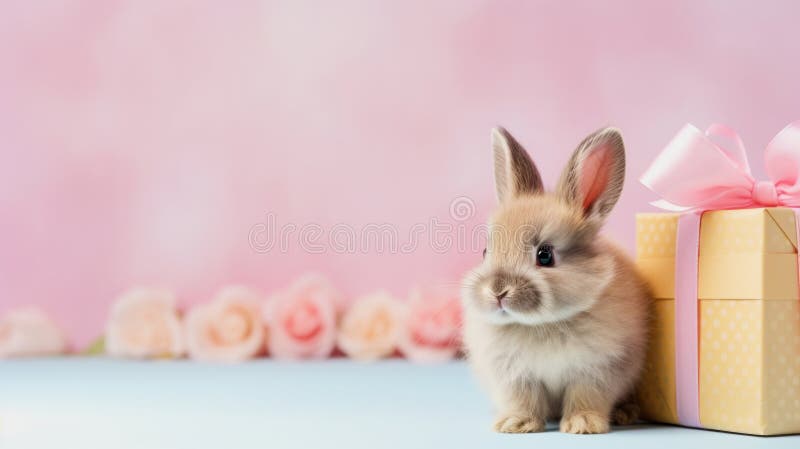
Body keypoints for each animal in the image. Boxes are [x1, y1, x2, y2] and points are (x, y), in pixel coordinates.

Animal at [461, 126, 651, 434]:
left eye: (545, 255)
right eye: (486, 251)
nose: (498, 292)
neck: (542, 324)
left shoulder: (596, 371)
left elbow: (585, 397)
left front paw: (583, 425)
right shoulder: (516, 376)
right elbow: (523, 400)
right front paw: (515, 424)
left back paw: (625, 414)